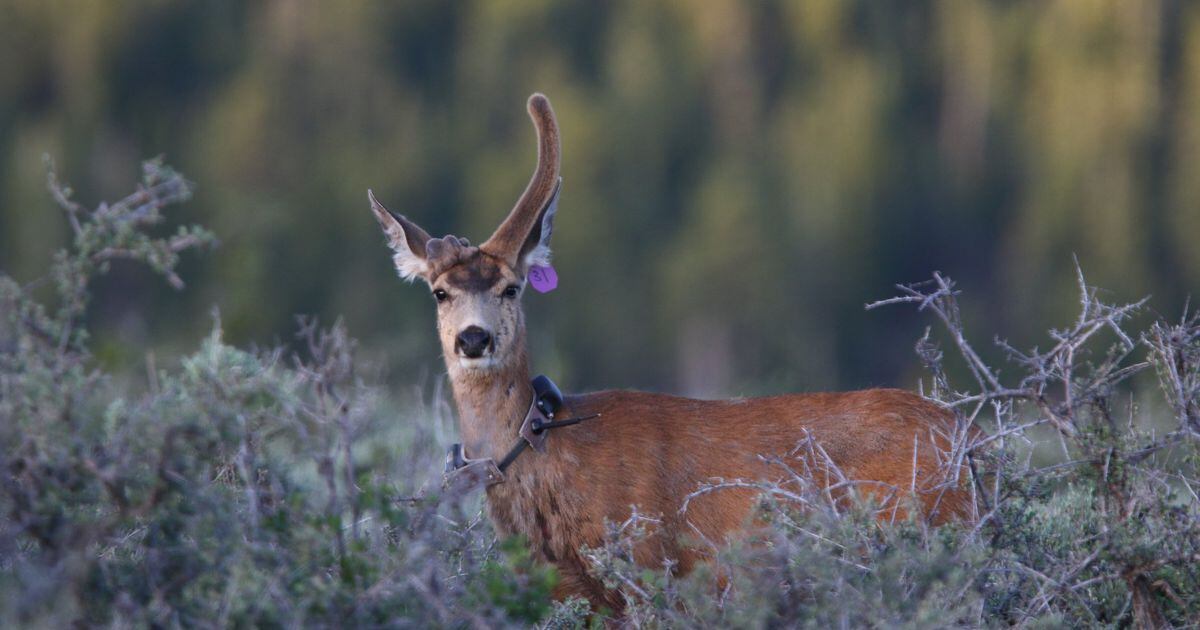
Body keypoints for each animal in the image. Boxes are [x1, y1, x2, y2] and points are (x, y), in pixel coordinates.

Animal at [369, 93, 979, 612]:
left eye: (511, 288)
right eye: (439, 292)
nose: (473, 339)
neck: (549, 454)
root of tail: (974, 447)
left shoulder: (646, 569)